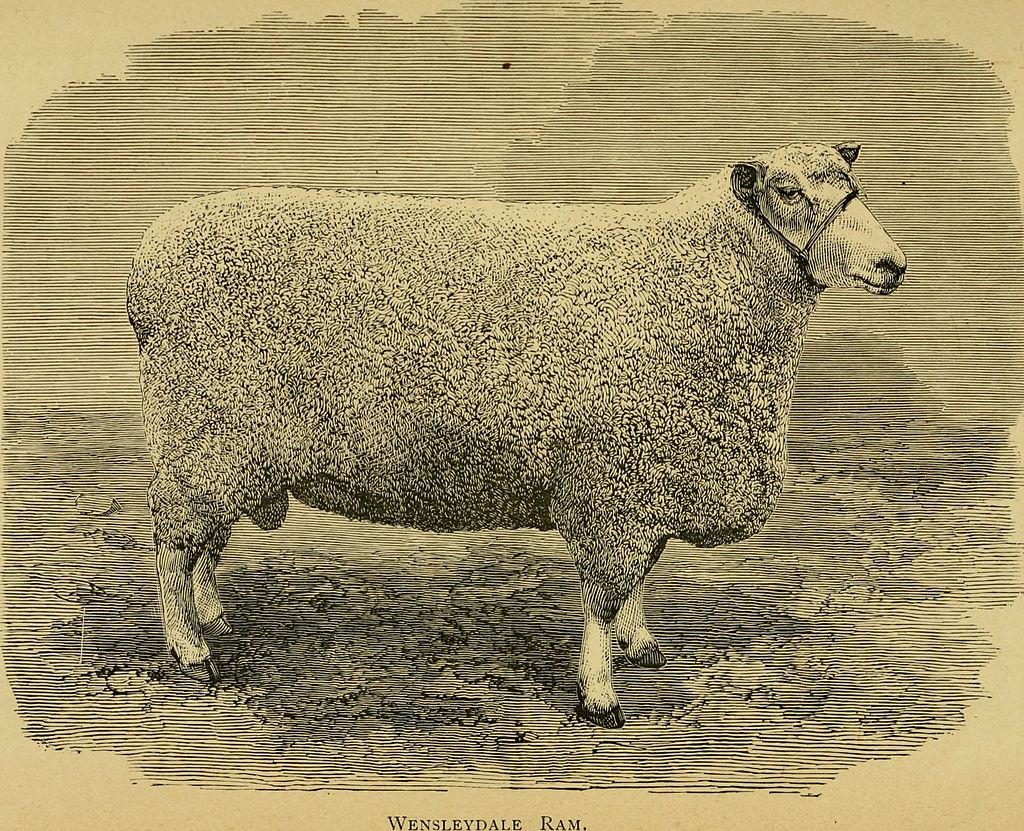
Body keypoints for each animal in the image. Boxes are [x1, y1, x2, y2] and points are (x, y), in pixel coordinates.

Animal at [127, 141, 906, 729]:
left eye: (854, 189)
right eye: (789, 191)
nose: (894, 266)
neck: (697, 275)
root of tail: (145, 268)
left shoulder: (646, 479)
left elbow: (637, 578)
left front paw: (639, 641)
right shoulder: (611, 482)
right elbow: (601, 595)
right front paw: (599, 691)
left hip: (226, 448)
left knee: (202, 544)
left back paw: (212, 617)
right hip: (201, 433)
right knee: (171, 545)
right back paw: (189, 648)